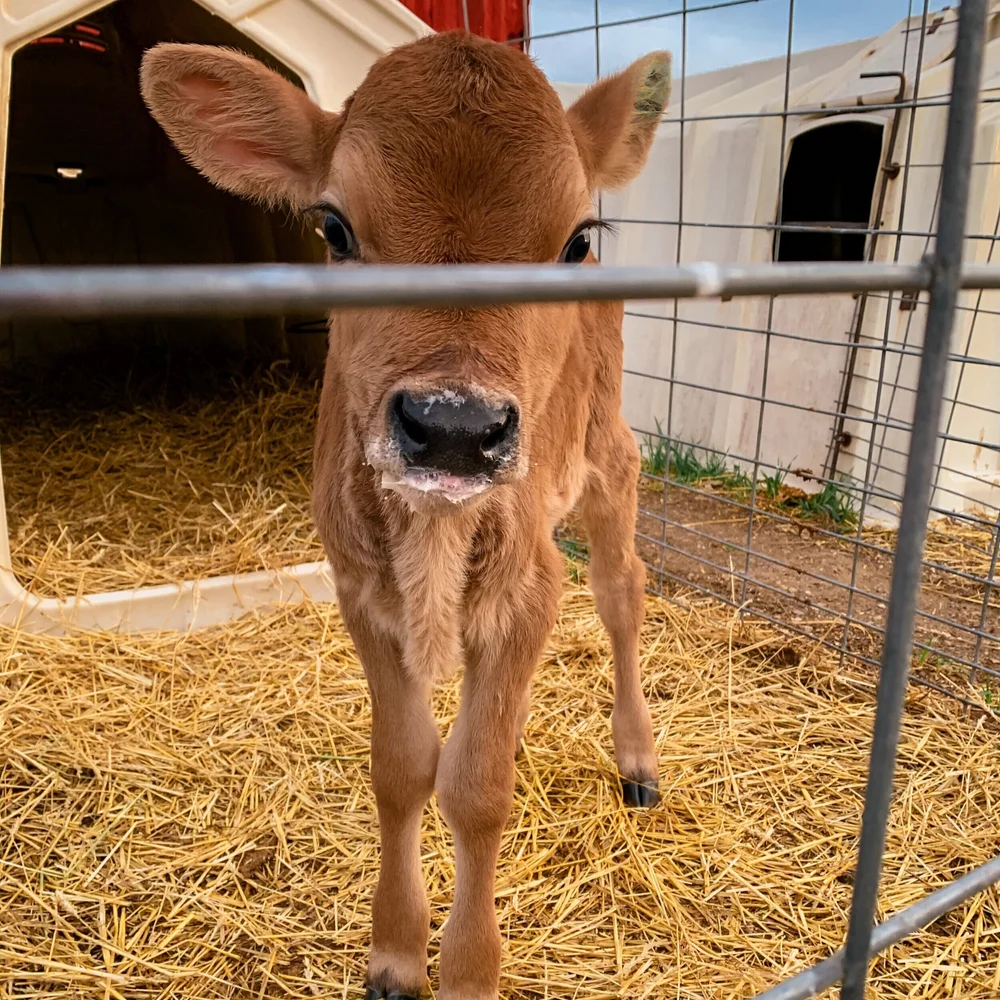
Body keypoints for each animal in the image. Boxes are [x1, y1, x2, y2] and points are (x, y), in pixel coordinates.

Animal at [140, 31, 670, 1000]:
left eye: (575, 237)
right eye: (333, 228)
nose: (455, 427)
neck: (434, 533)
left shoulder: (530, 586)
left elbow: (477, 788)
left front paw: (466, 969)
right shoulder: (362, 593)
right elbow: (401, 769)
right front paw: (394, 952)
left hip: (609, 460)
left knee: (621, 593)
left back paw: (638, 759)